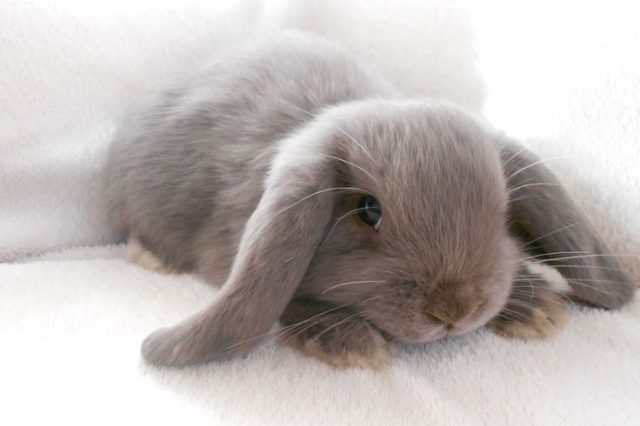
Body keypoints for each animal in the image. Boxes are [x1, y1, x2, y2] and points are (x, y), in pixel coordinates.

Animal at [105, 31, 635, 368]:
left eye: (503, 212)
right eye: (368, 210)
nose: (456, 310)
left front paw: (531, 307)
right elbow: (286, 295)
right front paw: (346, 342)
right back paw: (152, 257)